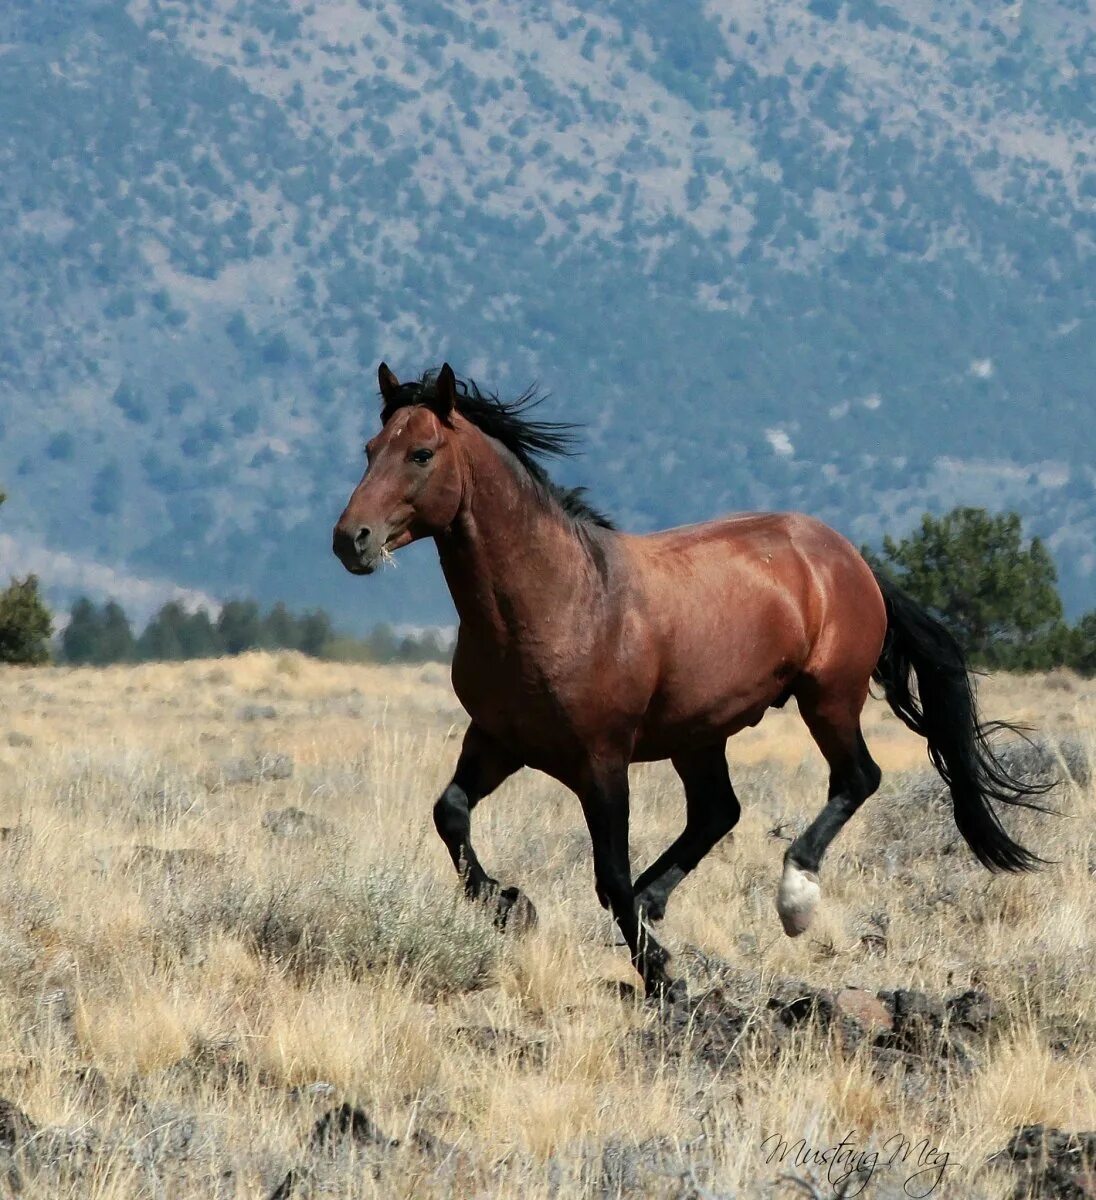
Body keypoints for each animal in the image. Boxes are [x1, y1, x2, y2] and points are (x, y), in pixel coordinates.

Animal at [336, 360, 1051, 998]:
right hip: (700, 732)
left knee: (855, 779)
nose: (351, 540)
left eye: (421, 453)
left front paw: (661, 974)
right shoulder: (497, 738)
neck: (560, 599)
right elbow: (451, 812)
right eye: (370, 449)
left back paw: (793, 899)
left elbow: (608, 871)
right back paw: (656, 902)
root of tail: (851, 558)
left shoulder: (602, 760)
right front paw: (512, 906)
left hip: (827, 698)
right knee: (718, 810)